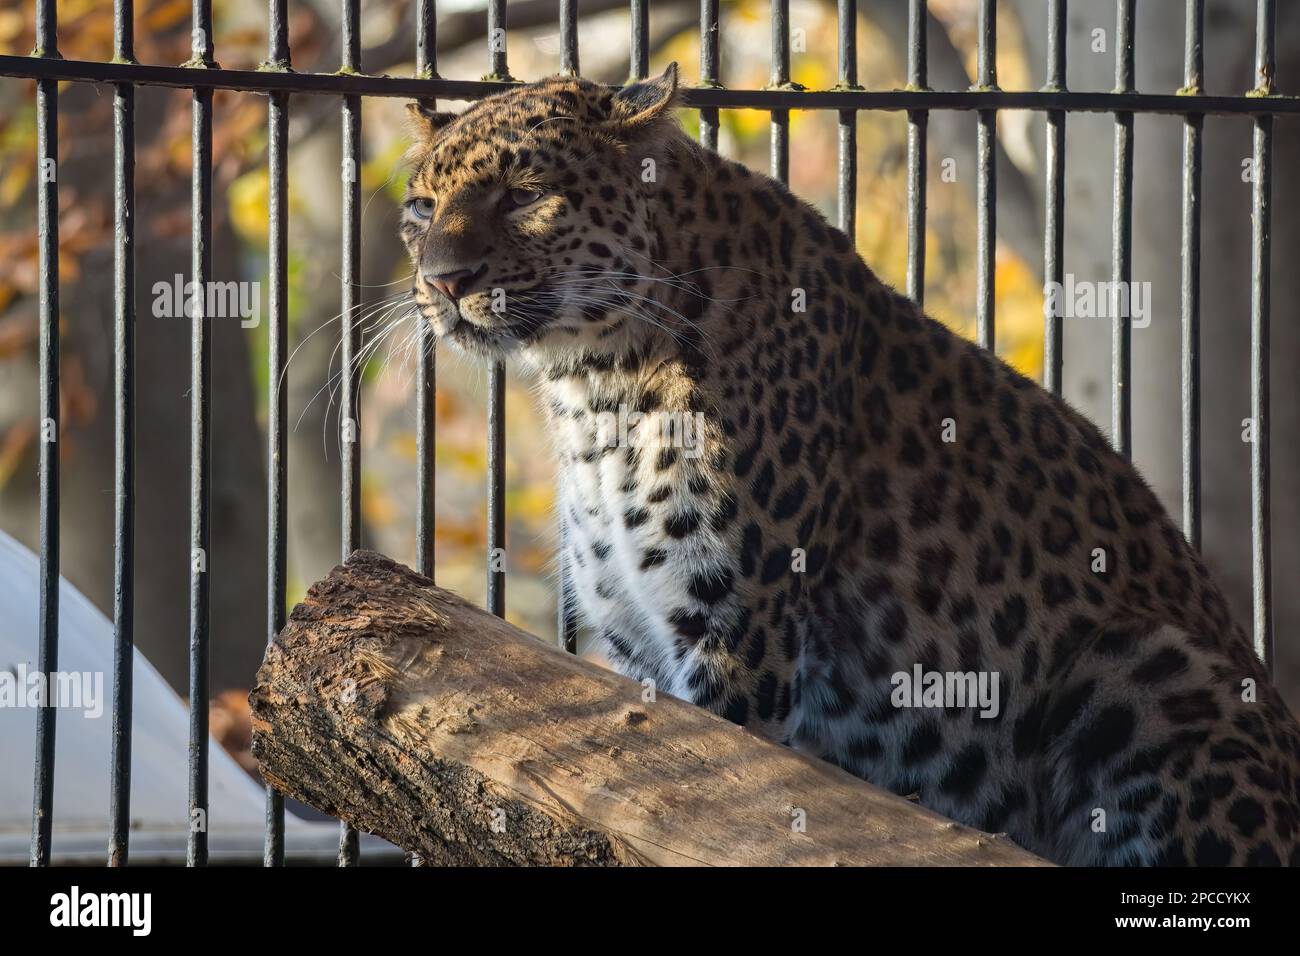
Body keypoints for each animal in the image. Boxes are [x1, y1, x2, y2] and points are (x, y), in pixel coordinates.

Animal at [397, 63, 1300, 866]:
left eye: (524, 194)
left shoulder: (736, 632)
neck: (593, 387)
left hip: (1145, 672)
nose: (443, 281)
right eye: (420, 208)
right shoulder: (637, 648)